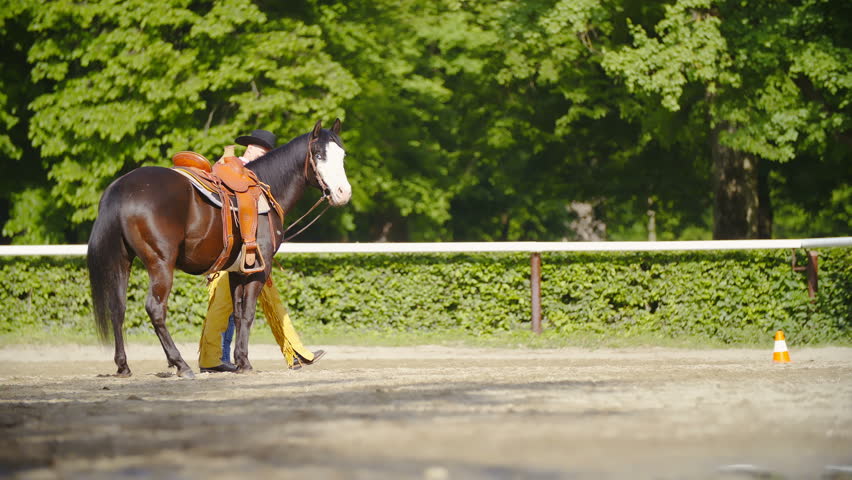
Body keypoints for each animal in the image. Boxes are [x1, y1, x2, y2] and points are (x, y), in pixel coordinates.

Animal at [87, 119, 351, 379]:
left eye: (343, 155)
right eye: (318, 154)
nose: (343, 193)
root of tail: (121, 188)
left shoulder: (237, 271)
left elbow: (237, 313)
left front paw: (239, 361)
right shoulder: (260, 269)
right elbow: (248, 314)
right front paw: (245, 362)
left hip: (122, 261)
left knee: (117, 308)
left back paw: (123, 366)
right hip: (161, 264)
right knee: (155, 308)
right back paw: (181, 364)